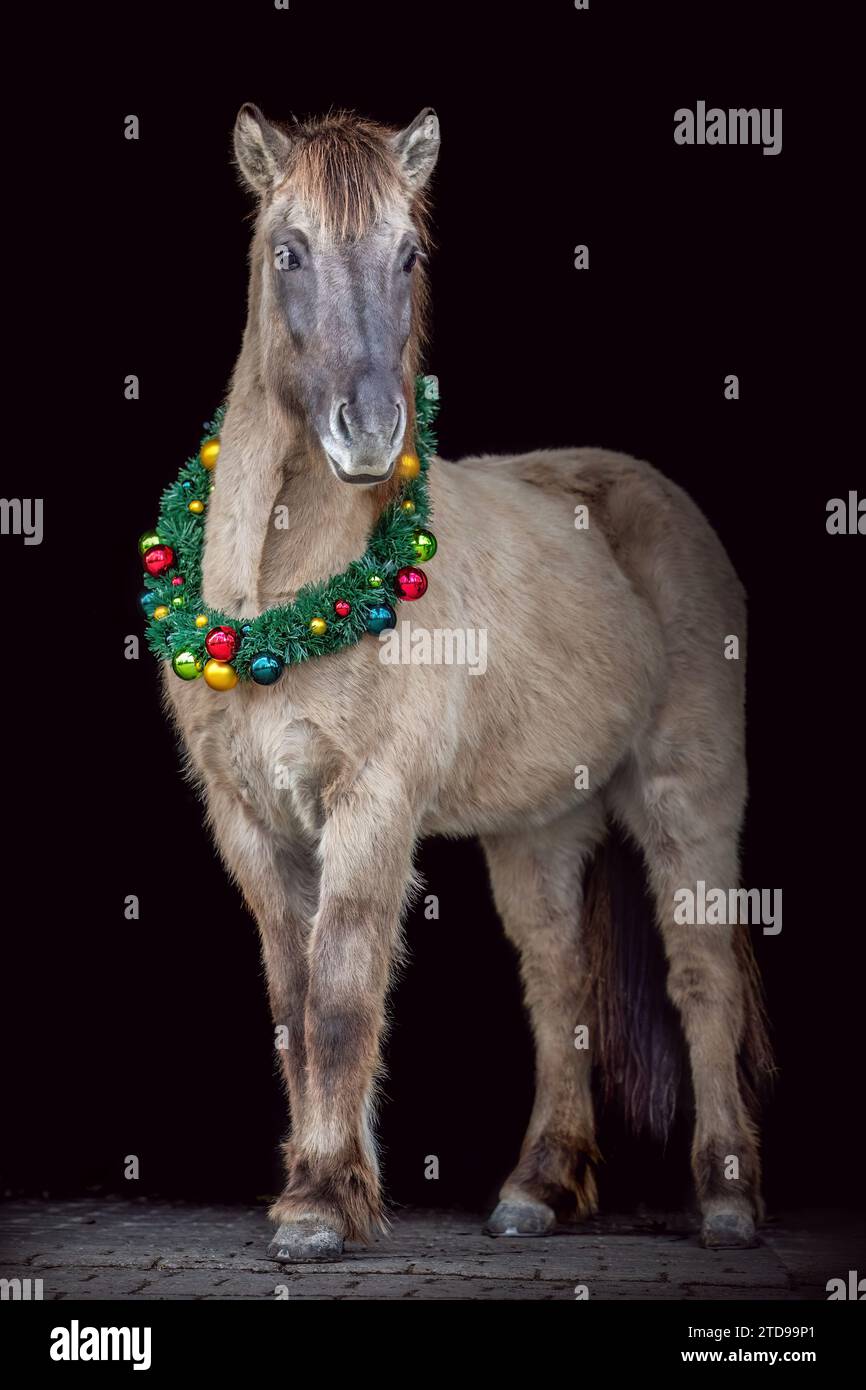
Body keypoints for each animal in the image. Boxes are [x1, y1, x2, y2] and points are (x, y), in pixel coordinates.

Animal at [163, 103, 773, 1261]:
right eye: (288, 250)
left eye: (408, 254)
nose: (368, 433)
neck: (281, 600)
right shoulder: (248, 820)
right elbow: (292, 997)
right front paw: (316, 1184)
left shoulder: (371, 804)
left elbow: (341, 994)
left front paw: (320, 1203)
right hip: (540, 825)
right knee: (556, 980)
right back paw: (534, 1187)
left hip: (684, 799)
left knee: (701, 974)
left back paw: (725, 1196)